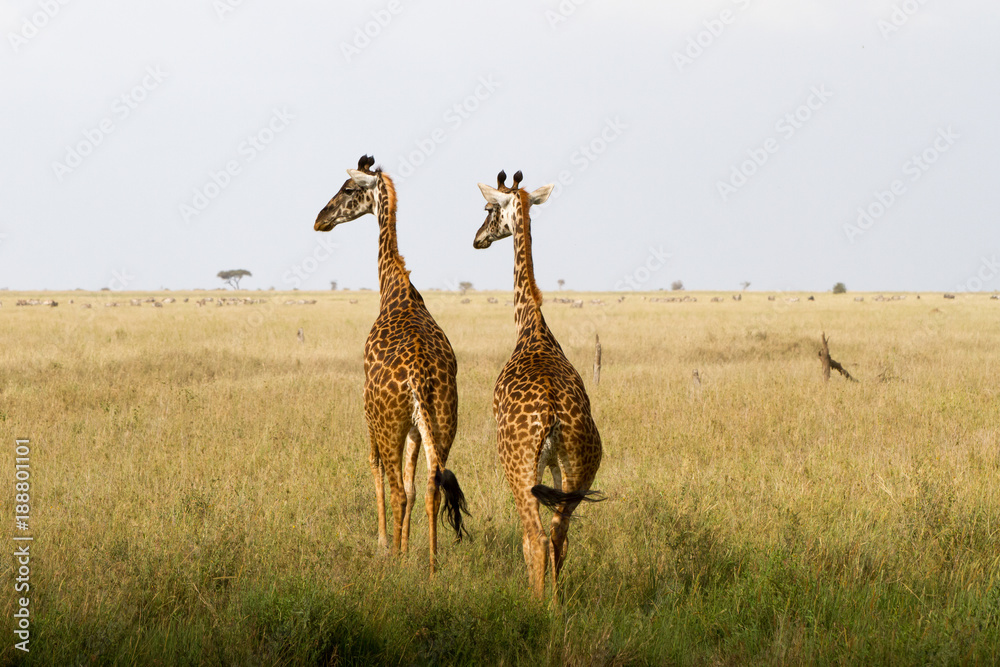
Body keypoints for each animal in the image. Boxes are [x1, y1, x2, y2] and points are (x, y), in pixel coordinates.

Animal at [315, 155, 468, 574]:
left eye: (348, 189)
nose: (320, 219)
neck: (396, 289)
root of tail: (417, 377)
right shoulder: (416, 427)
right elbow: (415, 487)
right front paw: (404, 545)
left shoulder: (368, 410)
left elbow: (375, 467)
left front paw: (386, 544)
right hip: (442, 423)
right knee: (430, 486)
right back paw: (431, 566)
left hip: (388, 422)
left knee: (397, 486)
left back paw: (397, 559)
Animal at [474, 169, 604, 597]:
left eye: (488, 208)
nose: (477, 238)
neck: (531, 329)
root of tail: (550, 415)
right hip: (579, 467)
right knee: (560, 536)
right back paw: (557, 605)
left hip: (518, 466)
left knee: (535, 537)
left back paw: (535, 604)